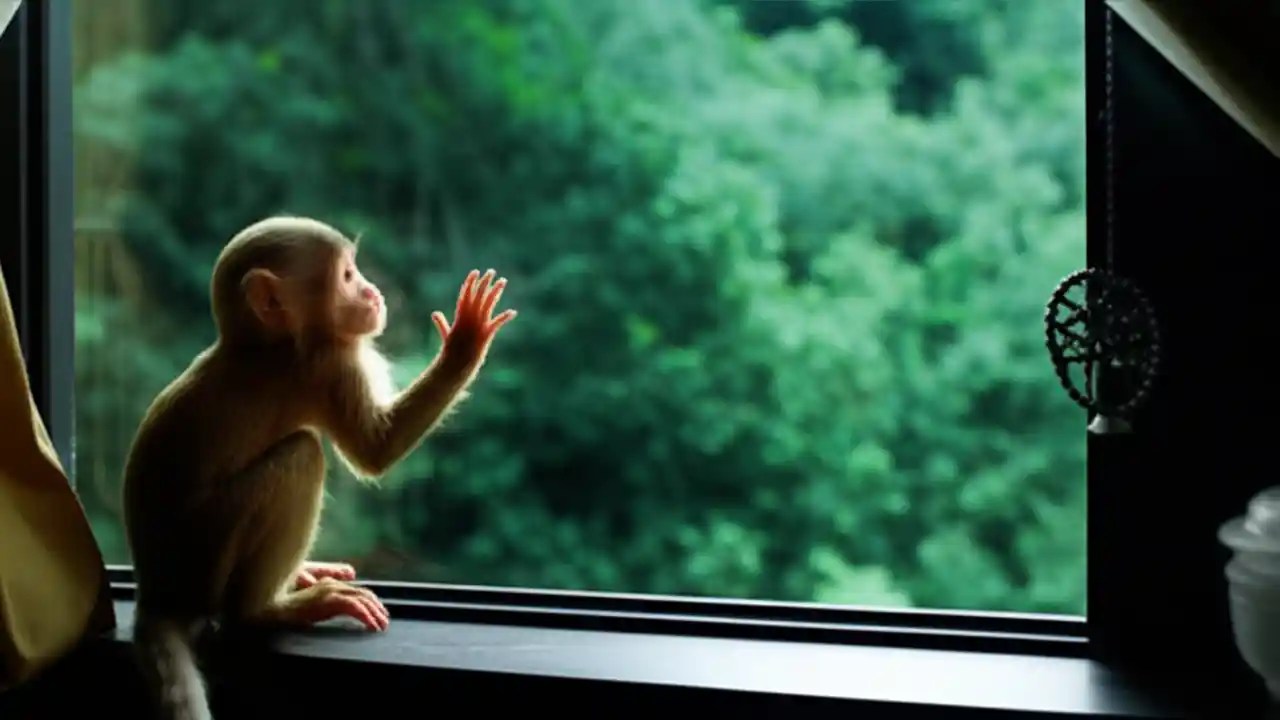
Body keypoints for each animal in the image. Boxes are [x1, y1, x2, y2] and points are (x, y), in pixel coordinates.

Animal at [121, 216, 516, 720]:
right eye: (346, 277)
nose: (371, 291)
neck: (263, 344)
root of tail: (155, 594)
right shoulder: (328, 364)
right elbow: (376, 449)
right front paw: (465, 342)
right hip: (206, 556)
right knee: (301, 456)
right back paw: (265, 609)